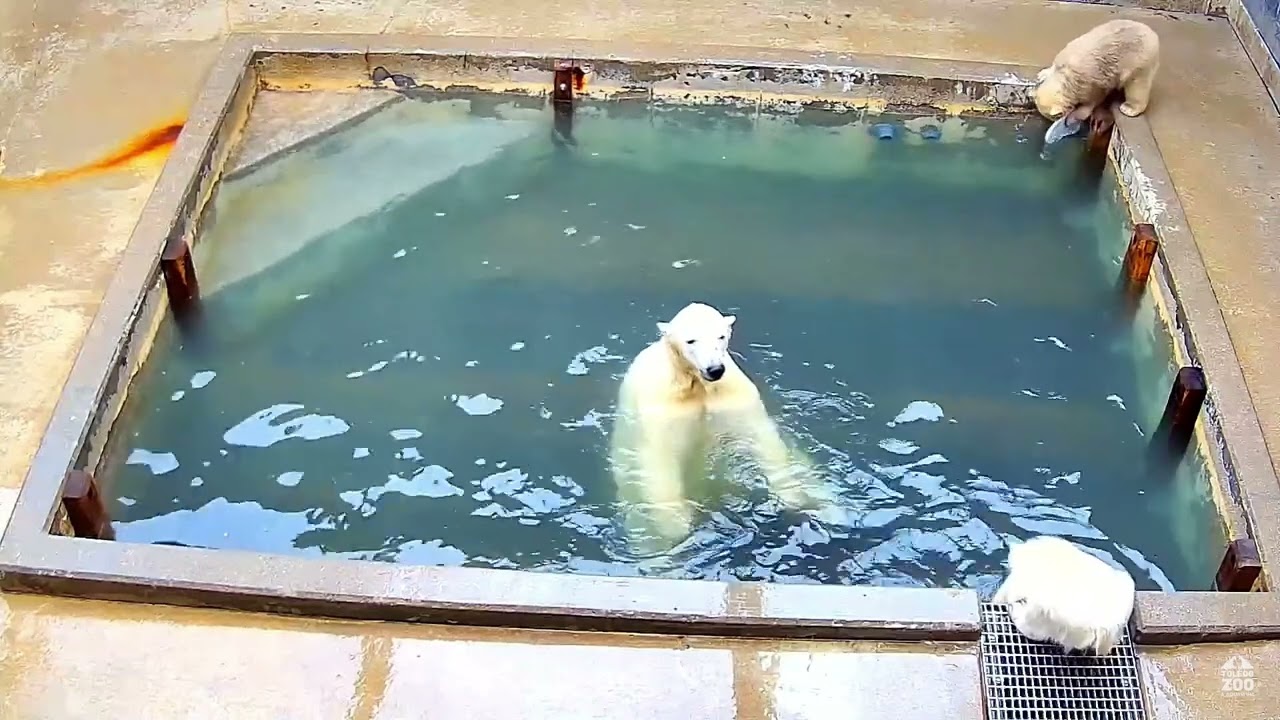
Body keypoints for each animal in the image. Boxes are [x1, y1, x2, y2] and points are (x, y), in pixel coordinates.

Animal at [608, 302, 827, 552]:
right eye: (691, 340)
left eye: (720, 336)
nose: (714, 369)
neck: (695, 384)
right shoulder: (660, 405)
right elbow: (659, 455)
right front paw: (677, 522)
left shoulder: (732, 396)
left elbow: (761, 437)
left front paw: (790, 495)